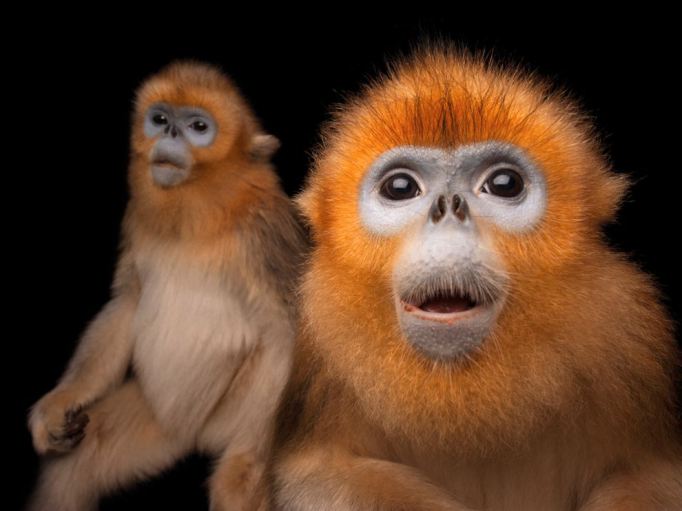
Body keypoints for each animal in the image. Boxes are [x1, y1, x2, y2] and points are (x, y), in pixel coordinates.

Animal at [27, 61, 308, 511]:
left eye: (198, 126)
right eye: (159, 119)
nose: (170, 134)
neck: (196, 215)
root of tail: (195, 435)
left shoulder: (265, 232)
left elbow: (291, 333)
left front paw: (249, 466)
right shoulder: (135, 217)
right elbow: (127, 301)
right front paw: (59, 401)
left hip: (236, 414)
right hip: (160, 420)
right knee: (74, 464)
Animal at [266, 46, 682, 511]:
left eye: (504, 183)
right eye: (400, 187)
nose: (449, 208)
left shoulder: (632, 340)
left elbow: (648, 477)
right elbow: (317, 473)